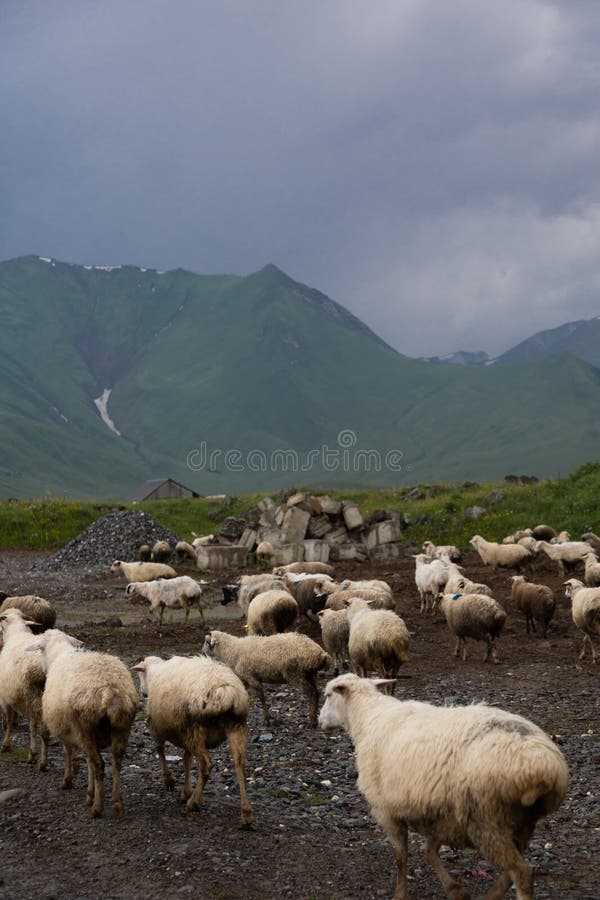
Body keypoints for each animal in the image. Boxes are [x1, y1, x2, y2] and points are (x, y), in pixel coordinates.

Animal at [0, 611, 49, 769]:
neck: (16, 633)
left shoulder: (5, 697)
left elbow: (8, 721)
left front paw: (5, 745)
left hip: (33, 697)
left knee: (38, 729)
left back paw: (36, 758)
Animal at [27, 629, 138, 817]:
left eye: (41, 649)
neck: (59, 653)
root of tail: (108, 691)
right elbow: (88, 761)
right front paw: (90, 794)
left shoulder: (66, 730)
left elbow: (68, 753)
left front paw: (68, 781)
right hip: (122, 727)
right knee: (116, 762)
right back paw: (117, 803)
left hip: (84, 727)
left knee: (100, 765)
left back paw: (98, 809)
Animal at [131, 655, 252, 825]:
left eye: (141, 674)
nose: (142, 692)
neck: (154, 673)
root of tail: (224, 691)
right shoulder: (183, 734)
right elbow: (186, 760)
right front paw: (186, 791)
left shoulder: (156, 728)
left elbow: (160, 751)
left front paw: (169, 781)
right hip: (236, 727)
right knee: (239, 765)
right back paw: (246, 813)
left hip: (194, 730)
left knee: (206, 766)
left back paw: (194, 803)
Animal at [318, 673, 568, 900]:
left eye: (328, 695)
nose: (319, 721)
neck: (368, 717)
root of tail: (543, 767)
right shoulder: (439, 813)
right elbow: (430, 853)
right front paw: (456, 890)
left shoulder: (386, 811)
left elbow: (401, 856)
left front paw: (400, 894)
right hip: (522, 822)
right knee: (513, 871)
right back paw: (492, 895)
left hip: (486, 819)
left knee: (521, 871)